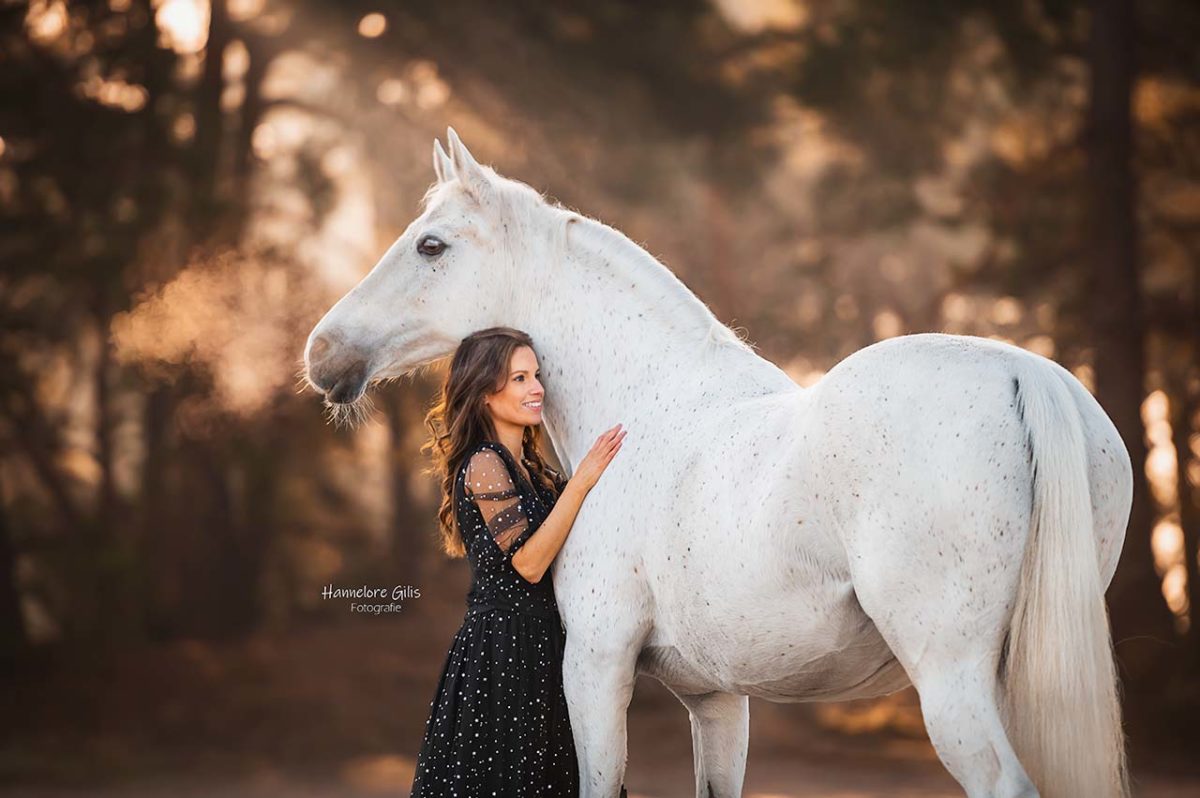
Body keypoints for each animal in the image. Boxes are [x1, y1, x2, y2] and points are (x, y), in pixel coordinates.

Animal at [304, 128, 1131, 798]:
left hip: (953, 676)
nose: (321, 352)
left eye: (431, 245)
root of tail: (1024, 374)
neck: (648, 398)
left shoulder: (595, 665)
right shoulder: (716, 699)